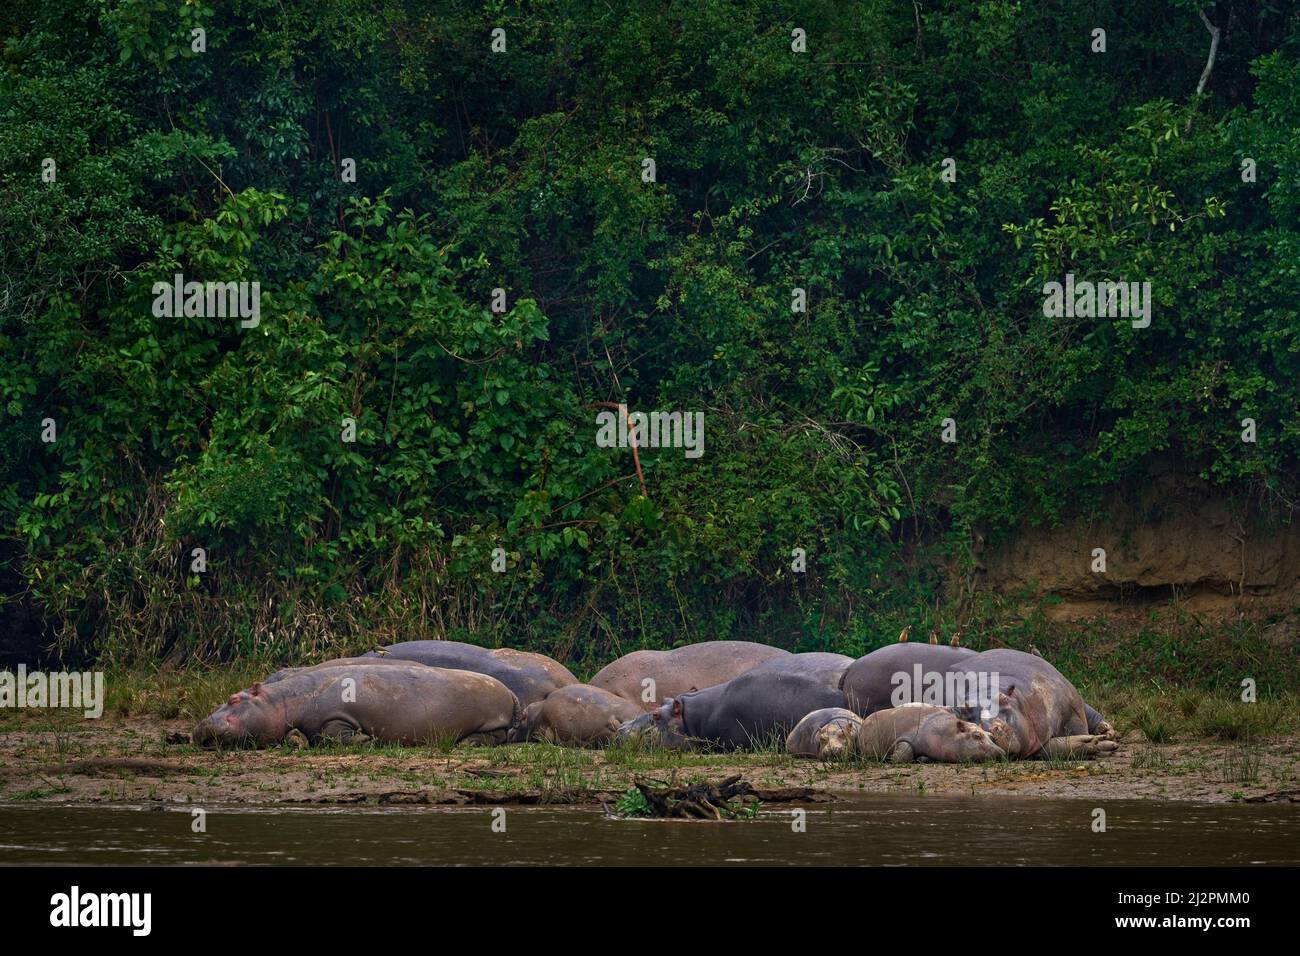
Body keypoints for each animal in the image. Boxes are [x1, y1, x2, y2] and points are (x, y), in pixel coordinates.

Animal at [192, 663, 519, 748]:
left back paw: (467, 744)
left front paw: (365, 739)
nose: (199, 725)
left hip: (493, 719)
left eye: (234, 698)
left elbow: (332, 734)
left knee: (495, 736)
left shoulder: (336, 717)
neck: (284, 699)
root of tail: (510, 693)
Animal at [854, 704, 1006, 763]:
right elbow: (905, 749)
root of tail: (865, 720)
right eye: (977, 735)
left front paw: (921, 759)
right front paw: (893, 759)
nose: (1001, 751)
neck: (947, 732)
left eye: (990, 735)